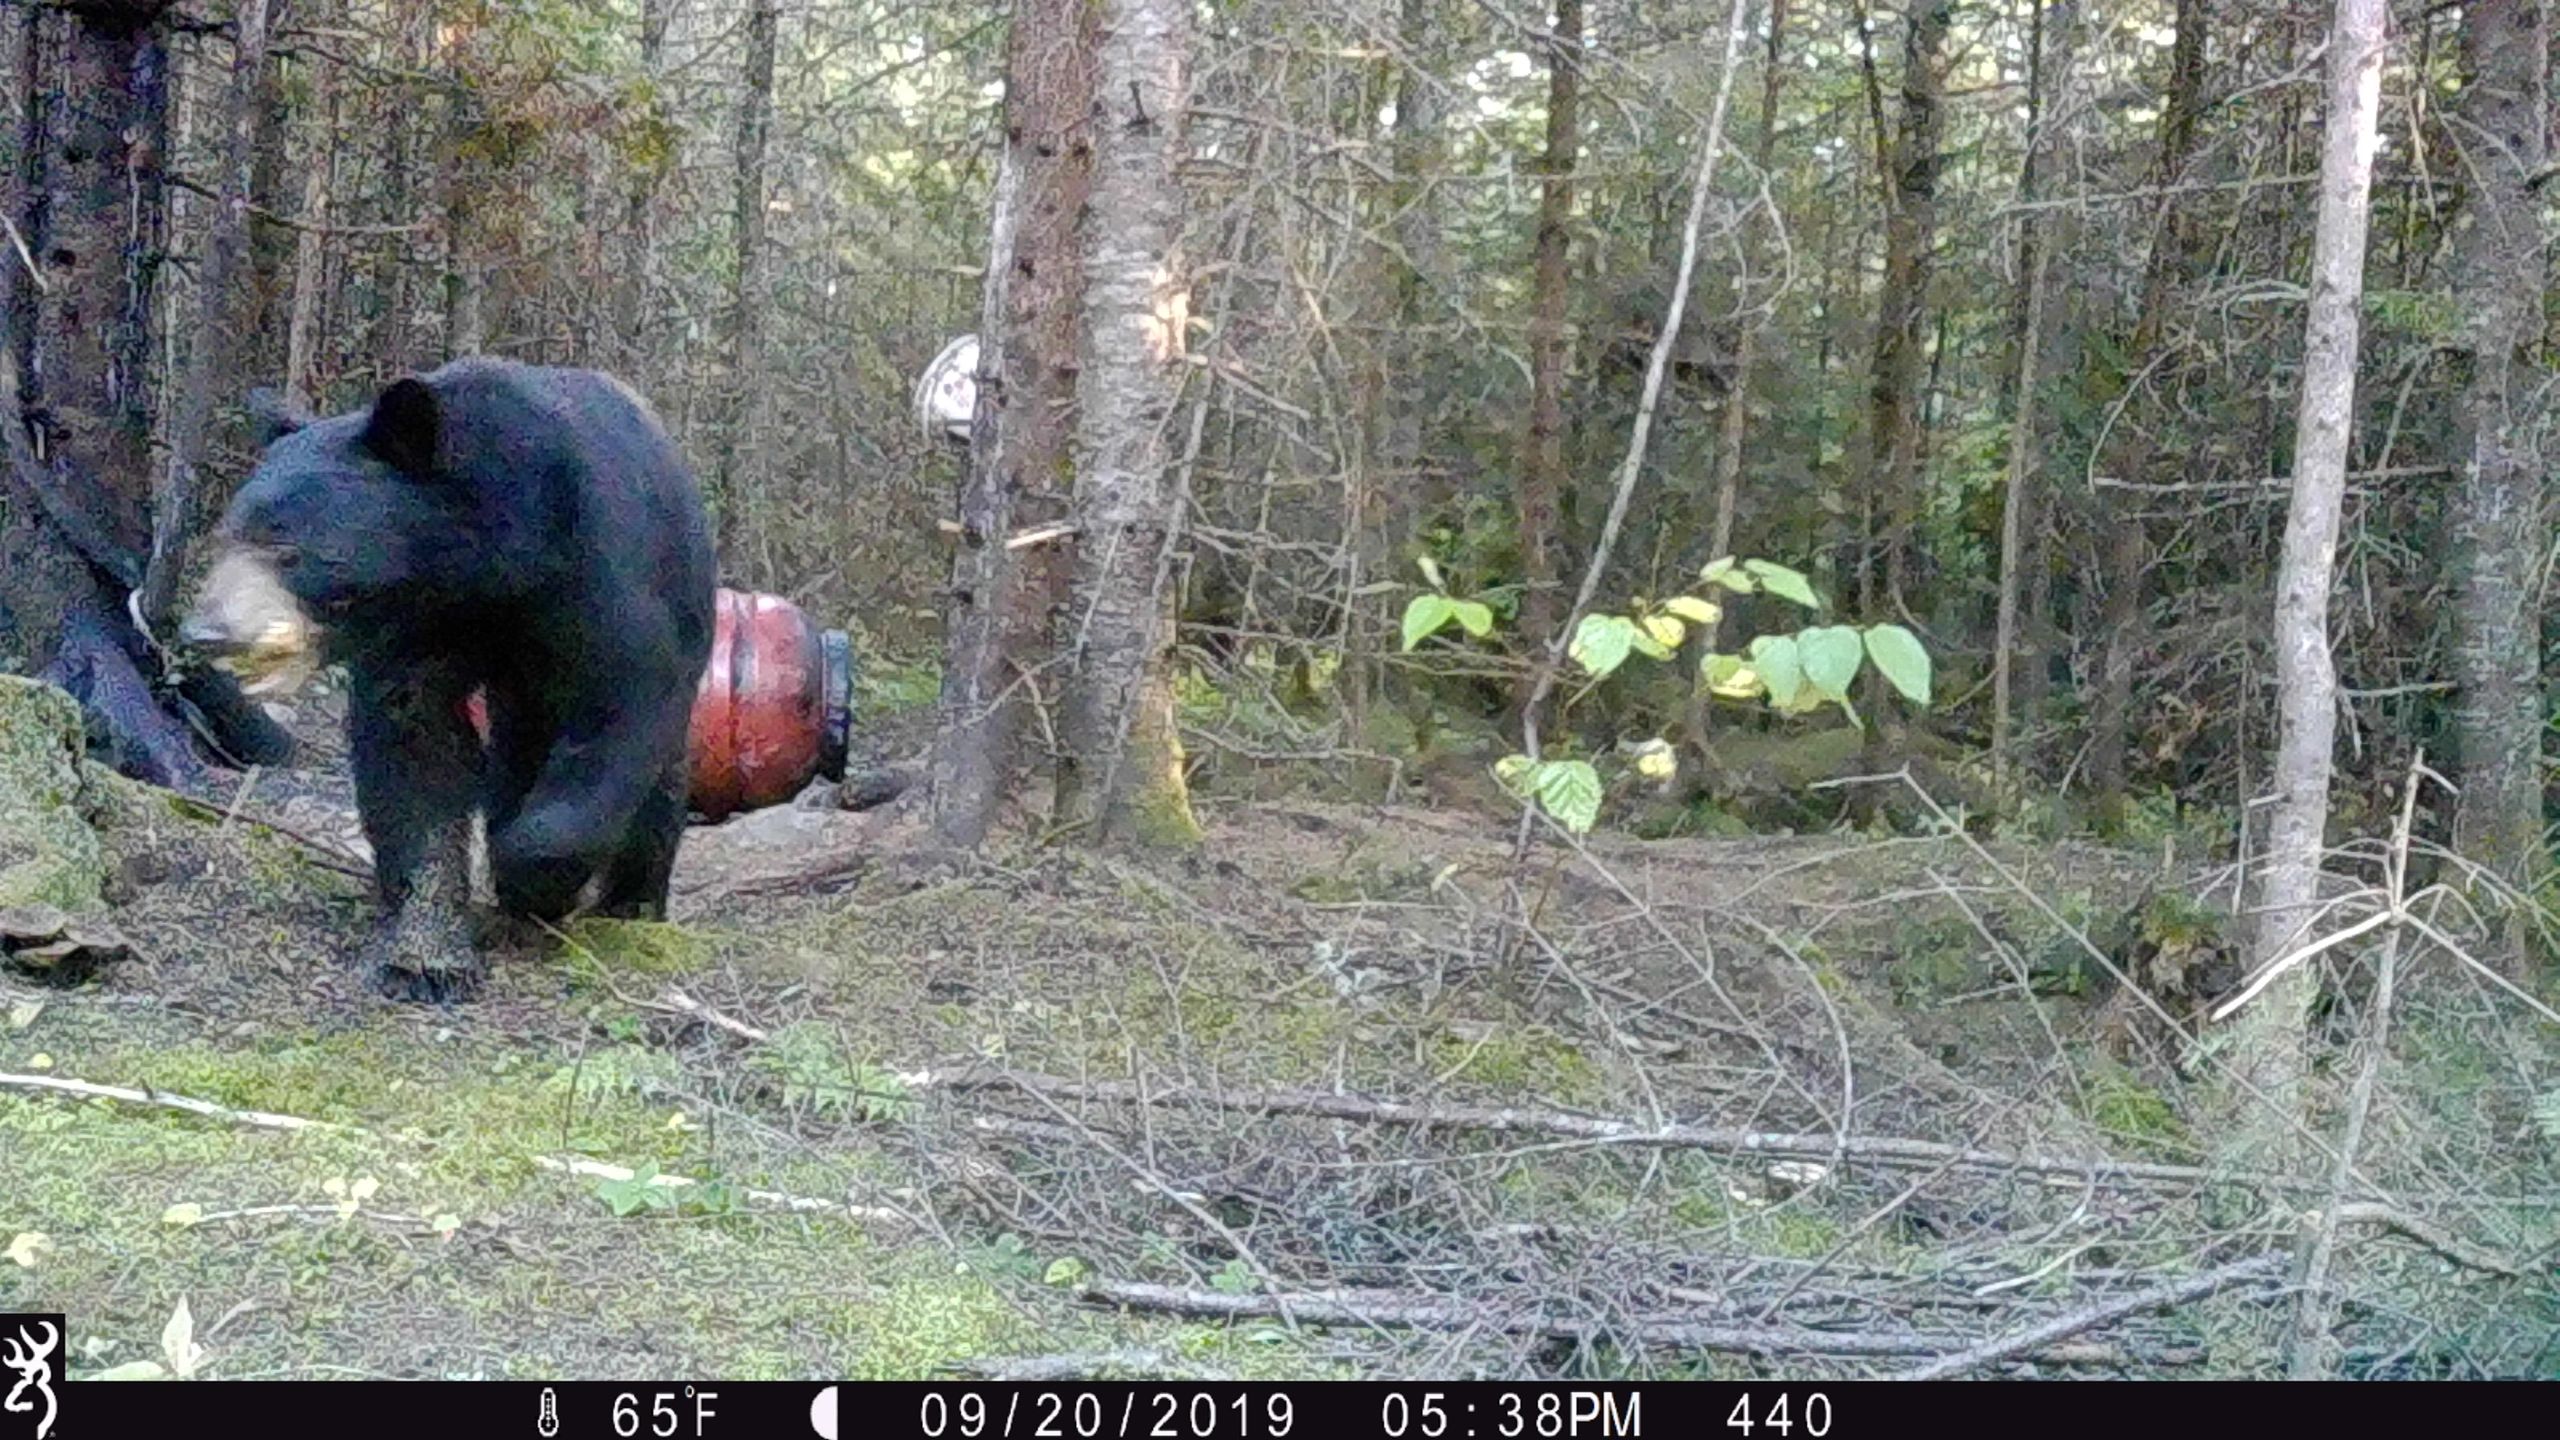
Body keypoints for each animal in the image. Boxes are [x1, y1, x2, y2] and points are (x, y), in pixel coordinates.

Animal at [180, 358, 717, 1001]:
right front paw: (423, 958)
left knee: (660, 778)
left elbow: (619, 709)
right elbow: (417, 749)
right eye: (227, 539)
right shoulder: (422, 625)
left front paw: (530, 877)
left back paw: (632, 901)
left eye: (287, 550)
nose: (204, 632)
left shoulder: (601, 570)